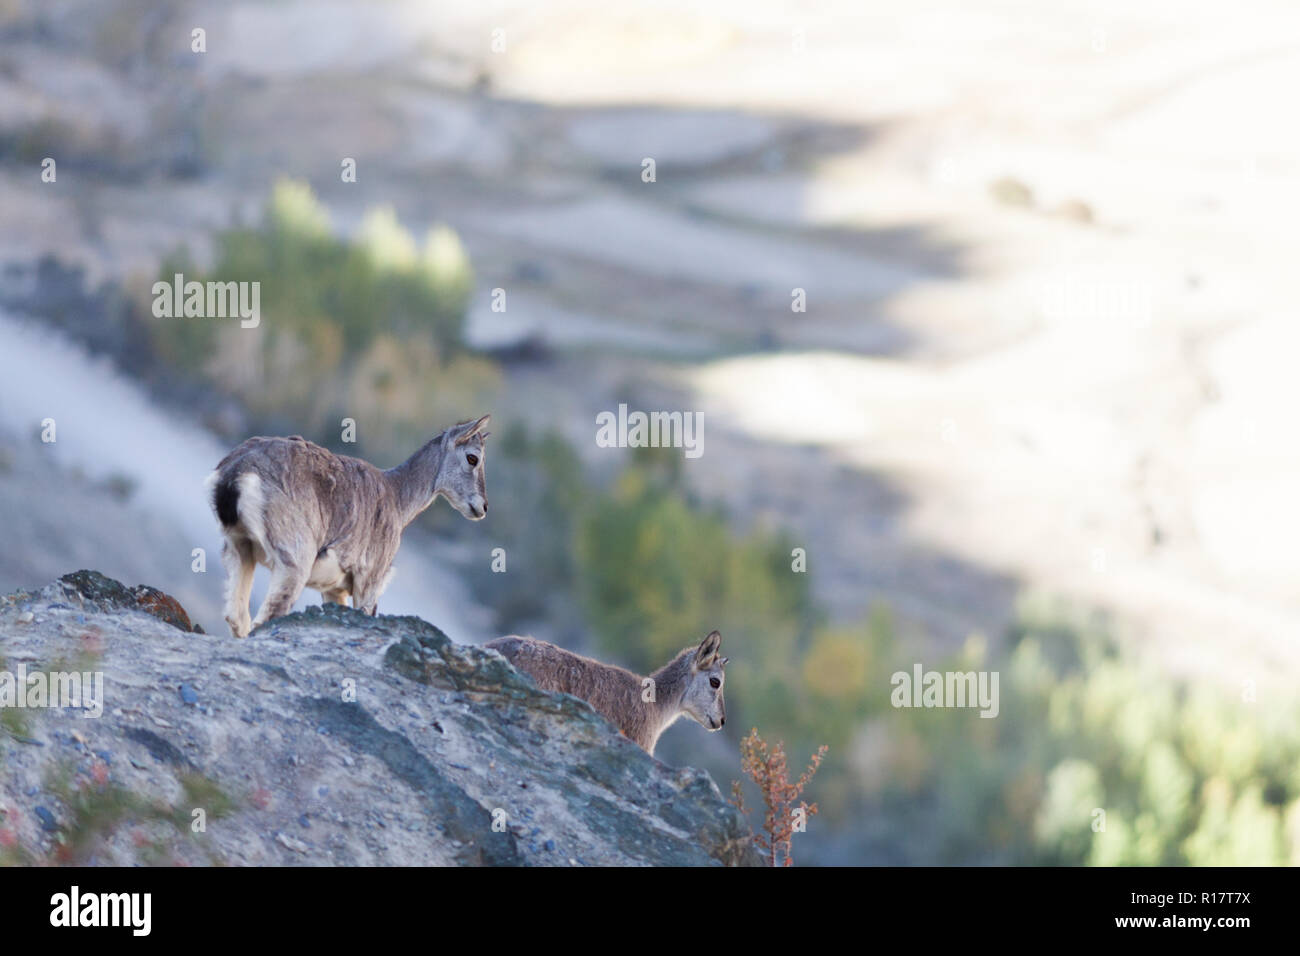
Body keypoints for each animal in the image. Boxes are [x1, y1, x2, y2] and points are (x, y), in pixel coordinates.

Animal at [205, 415, 490, 637]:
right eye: (472, 458)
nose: (482, 507)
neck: (397, 497)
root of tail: (236, 473)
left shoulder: (334, 590)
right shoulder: (369, 583)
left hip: (238, 549)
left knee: (237, 617)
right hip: (294, 562)